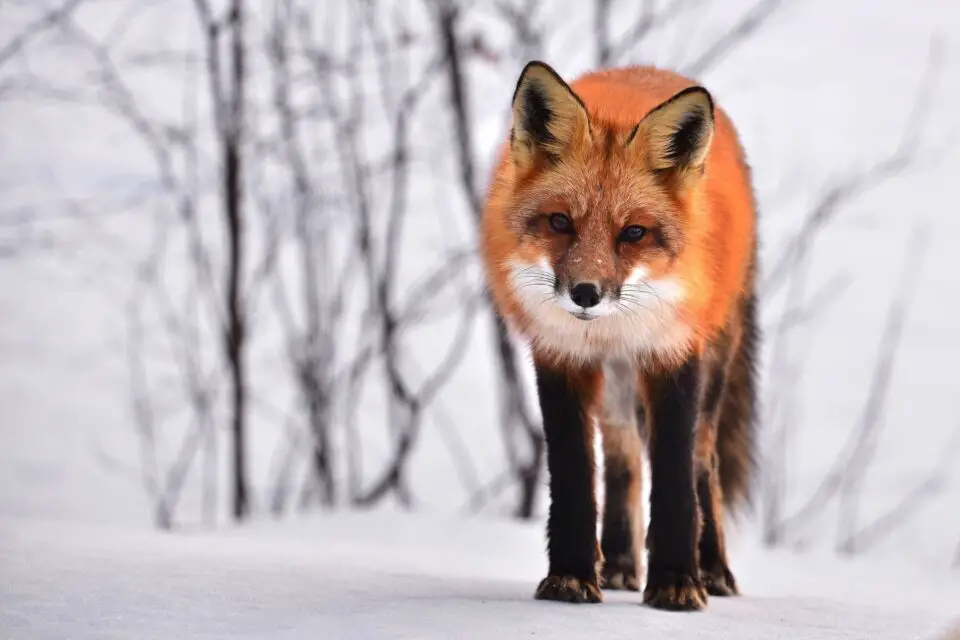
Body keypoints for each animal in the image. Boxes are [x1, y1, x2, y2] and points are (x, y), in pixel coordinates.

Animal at [480, 61, 758, 611]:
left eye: (633, 233)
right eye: (560, 222)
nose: (585, 294)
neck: (610, 328)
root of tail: (649, 69)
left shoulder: (673, 353)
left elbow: (675, 478)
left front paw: (676, 581)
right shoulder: (560, 356)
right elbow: (574, 475)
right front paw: (570, 575)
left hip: (712, 364)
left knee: (703, 461)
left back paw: (713, 568)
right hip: (615, 387)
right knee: (622, 457)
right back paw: (620, 562)